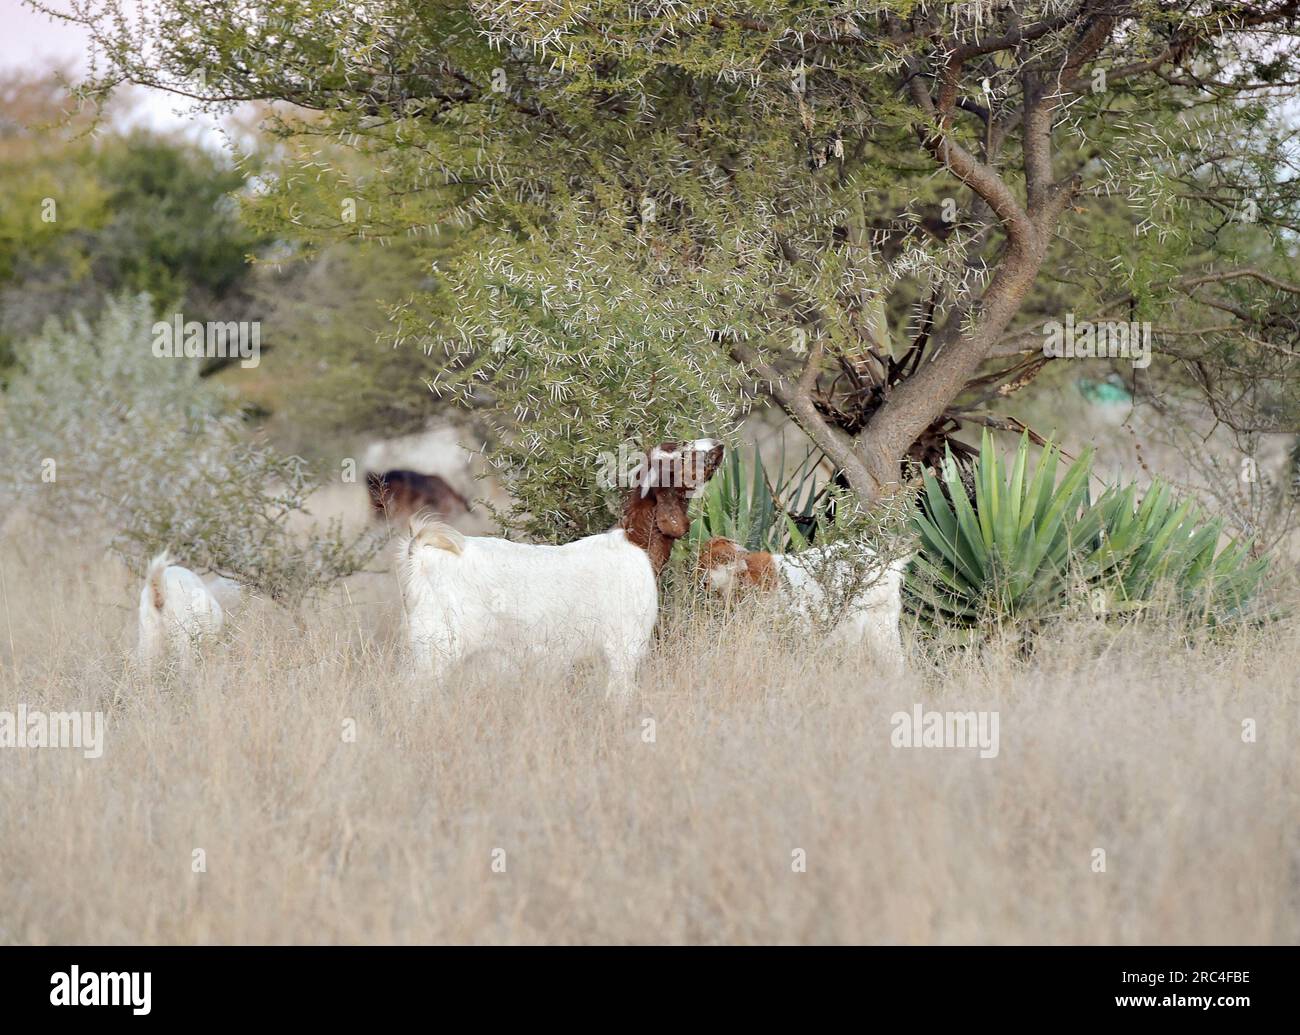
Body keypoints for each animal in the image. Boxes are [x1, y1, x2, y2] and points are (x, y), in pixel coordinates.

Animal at [400, 439, 723, 695]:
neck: (637, 542)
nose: (717, 445)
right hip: (437, 647)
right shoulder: (623, 650)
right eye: (682, 452)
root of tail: (423, 556)